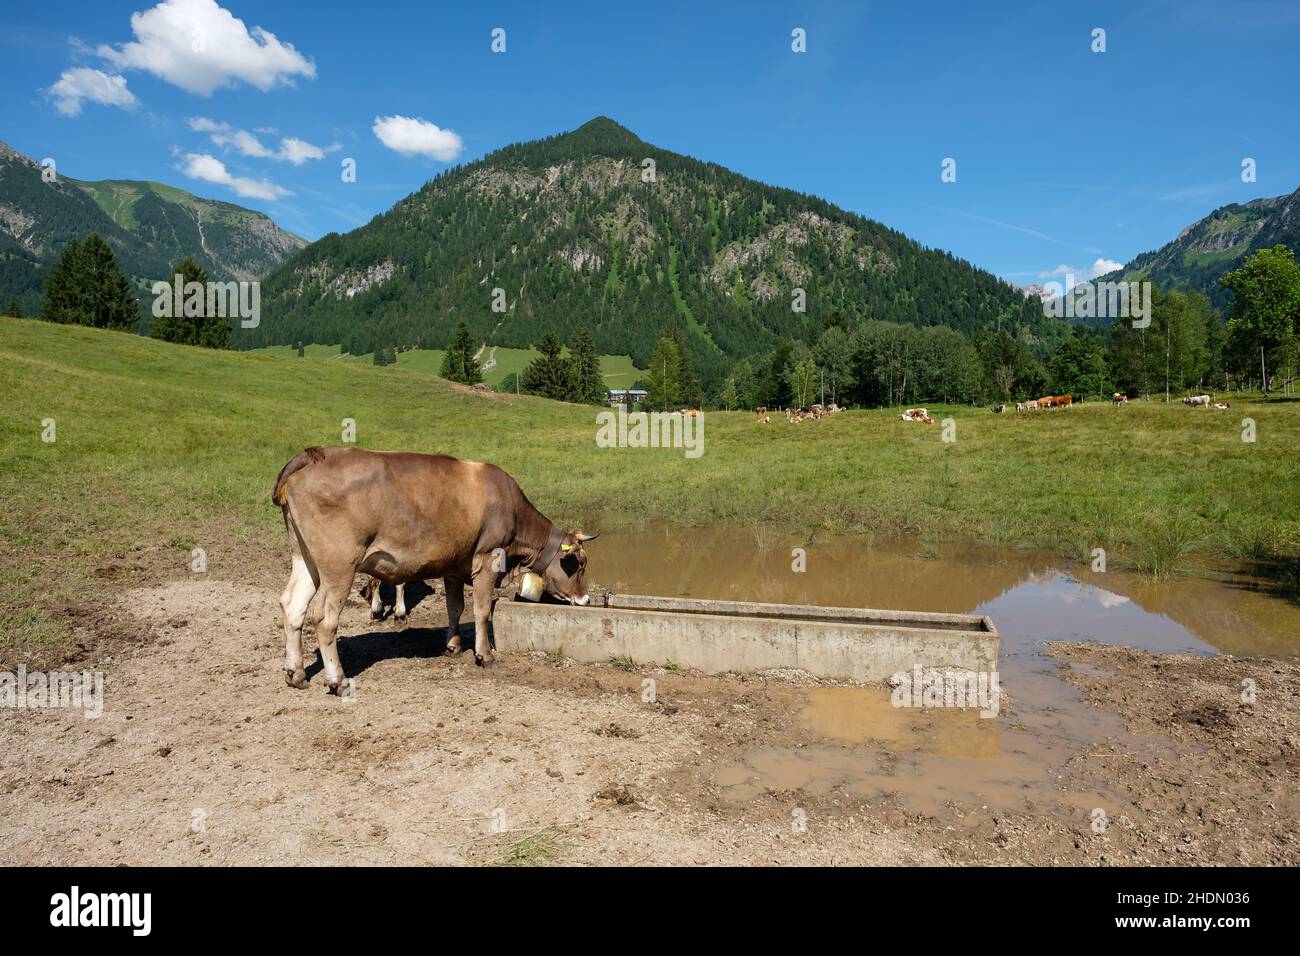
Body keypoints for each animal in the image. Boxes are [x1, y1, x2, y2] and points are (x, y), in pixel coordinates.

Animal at [273, 446, 598, 690]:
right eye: (579, 564)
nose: (586, 599)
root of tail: (318, 453)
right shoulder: (487, 559)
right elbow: (481, 610)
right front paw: (485, 655)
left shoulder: (454, 565)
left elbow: (455, 607)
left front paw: (453, 646)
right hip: (339, 564)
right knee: (323, 618)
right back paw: (337, 680)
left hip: (305, 558)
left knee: (293, 605)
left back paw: (295, 673)